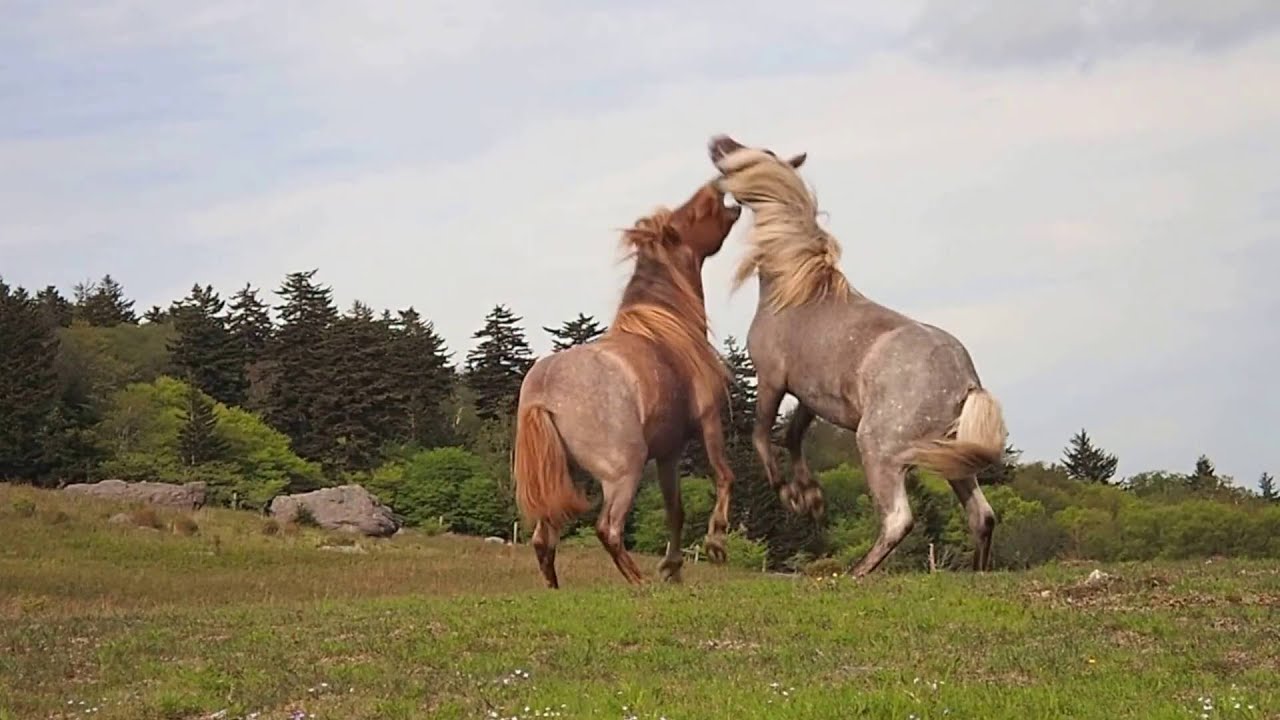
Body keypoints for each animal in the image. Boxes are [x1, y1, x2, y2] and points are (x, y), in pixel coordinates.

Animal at [512, 180, 743, 588]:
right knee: (607, 528)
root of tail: (544, 391)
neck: (664, 331)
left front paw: (673, 569)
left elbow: (675, 511)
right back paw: (639, 583)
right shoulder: (708, 420)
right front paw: (715, 543)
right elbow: (724, 476)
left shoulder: (668, 452)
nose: (716, 188)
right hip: (624, 471)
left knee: (543, 540)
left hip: (557, 475)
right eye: (691, 214)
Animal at [705, 134, 1009, 576]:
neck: (797, 288)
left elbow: (761, 435)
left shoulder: (772, 378)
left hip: (879, 448)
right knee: (982, 516)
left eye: (752, 156)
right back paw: (977, 572)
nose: (718, 142)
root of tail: (966, 382)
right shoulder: (811, 397)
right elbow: (792, 436)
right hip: (950, 456)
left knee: (899, 519)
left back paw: (857, 571)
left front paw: (790, 496)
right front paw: (811, 498)